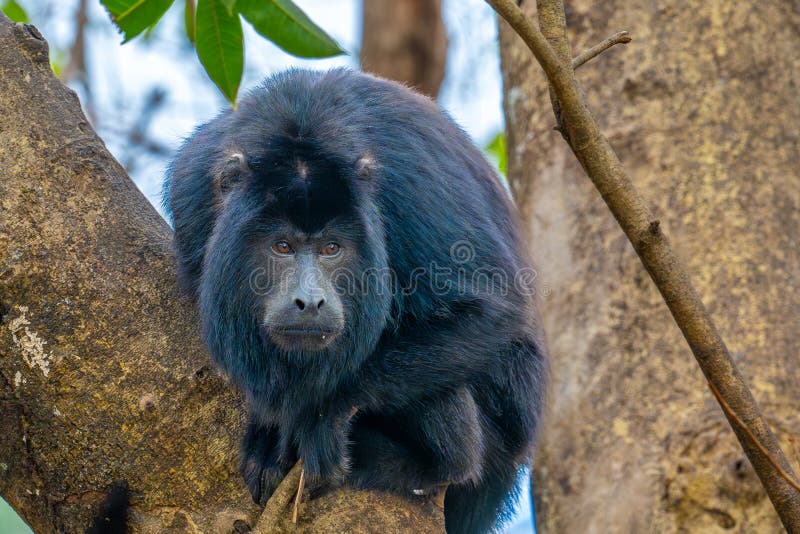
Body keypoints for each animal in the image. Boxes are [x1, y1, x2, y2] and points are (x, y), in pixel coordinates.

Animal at [165, 68, 546, 534]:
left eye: (331, 248)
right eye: (282, 246)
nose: (310, 301)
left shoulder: (412, 186)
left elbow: (490, 311)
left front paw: (318, 413)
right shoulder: (192, 193)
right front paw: (268, 427)